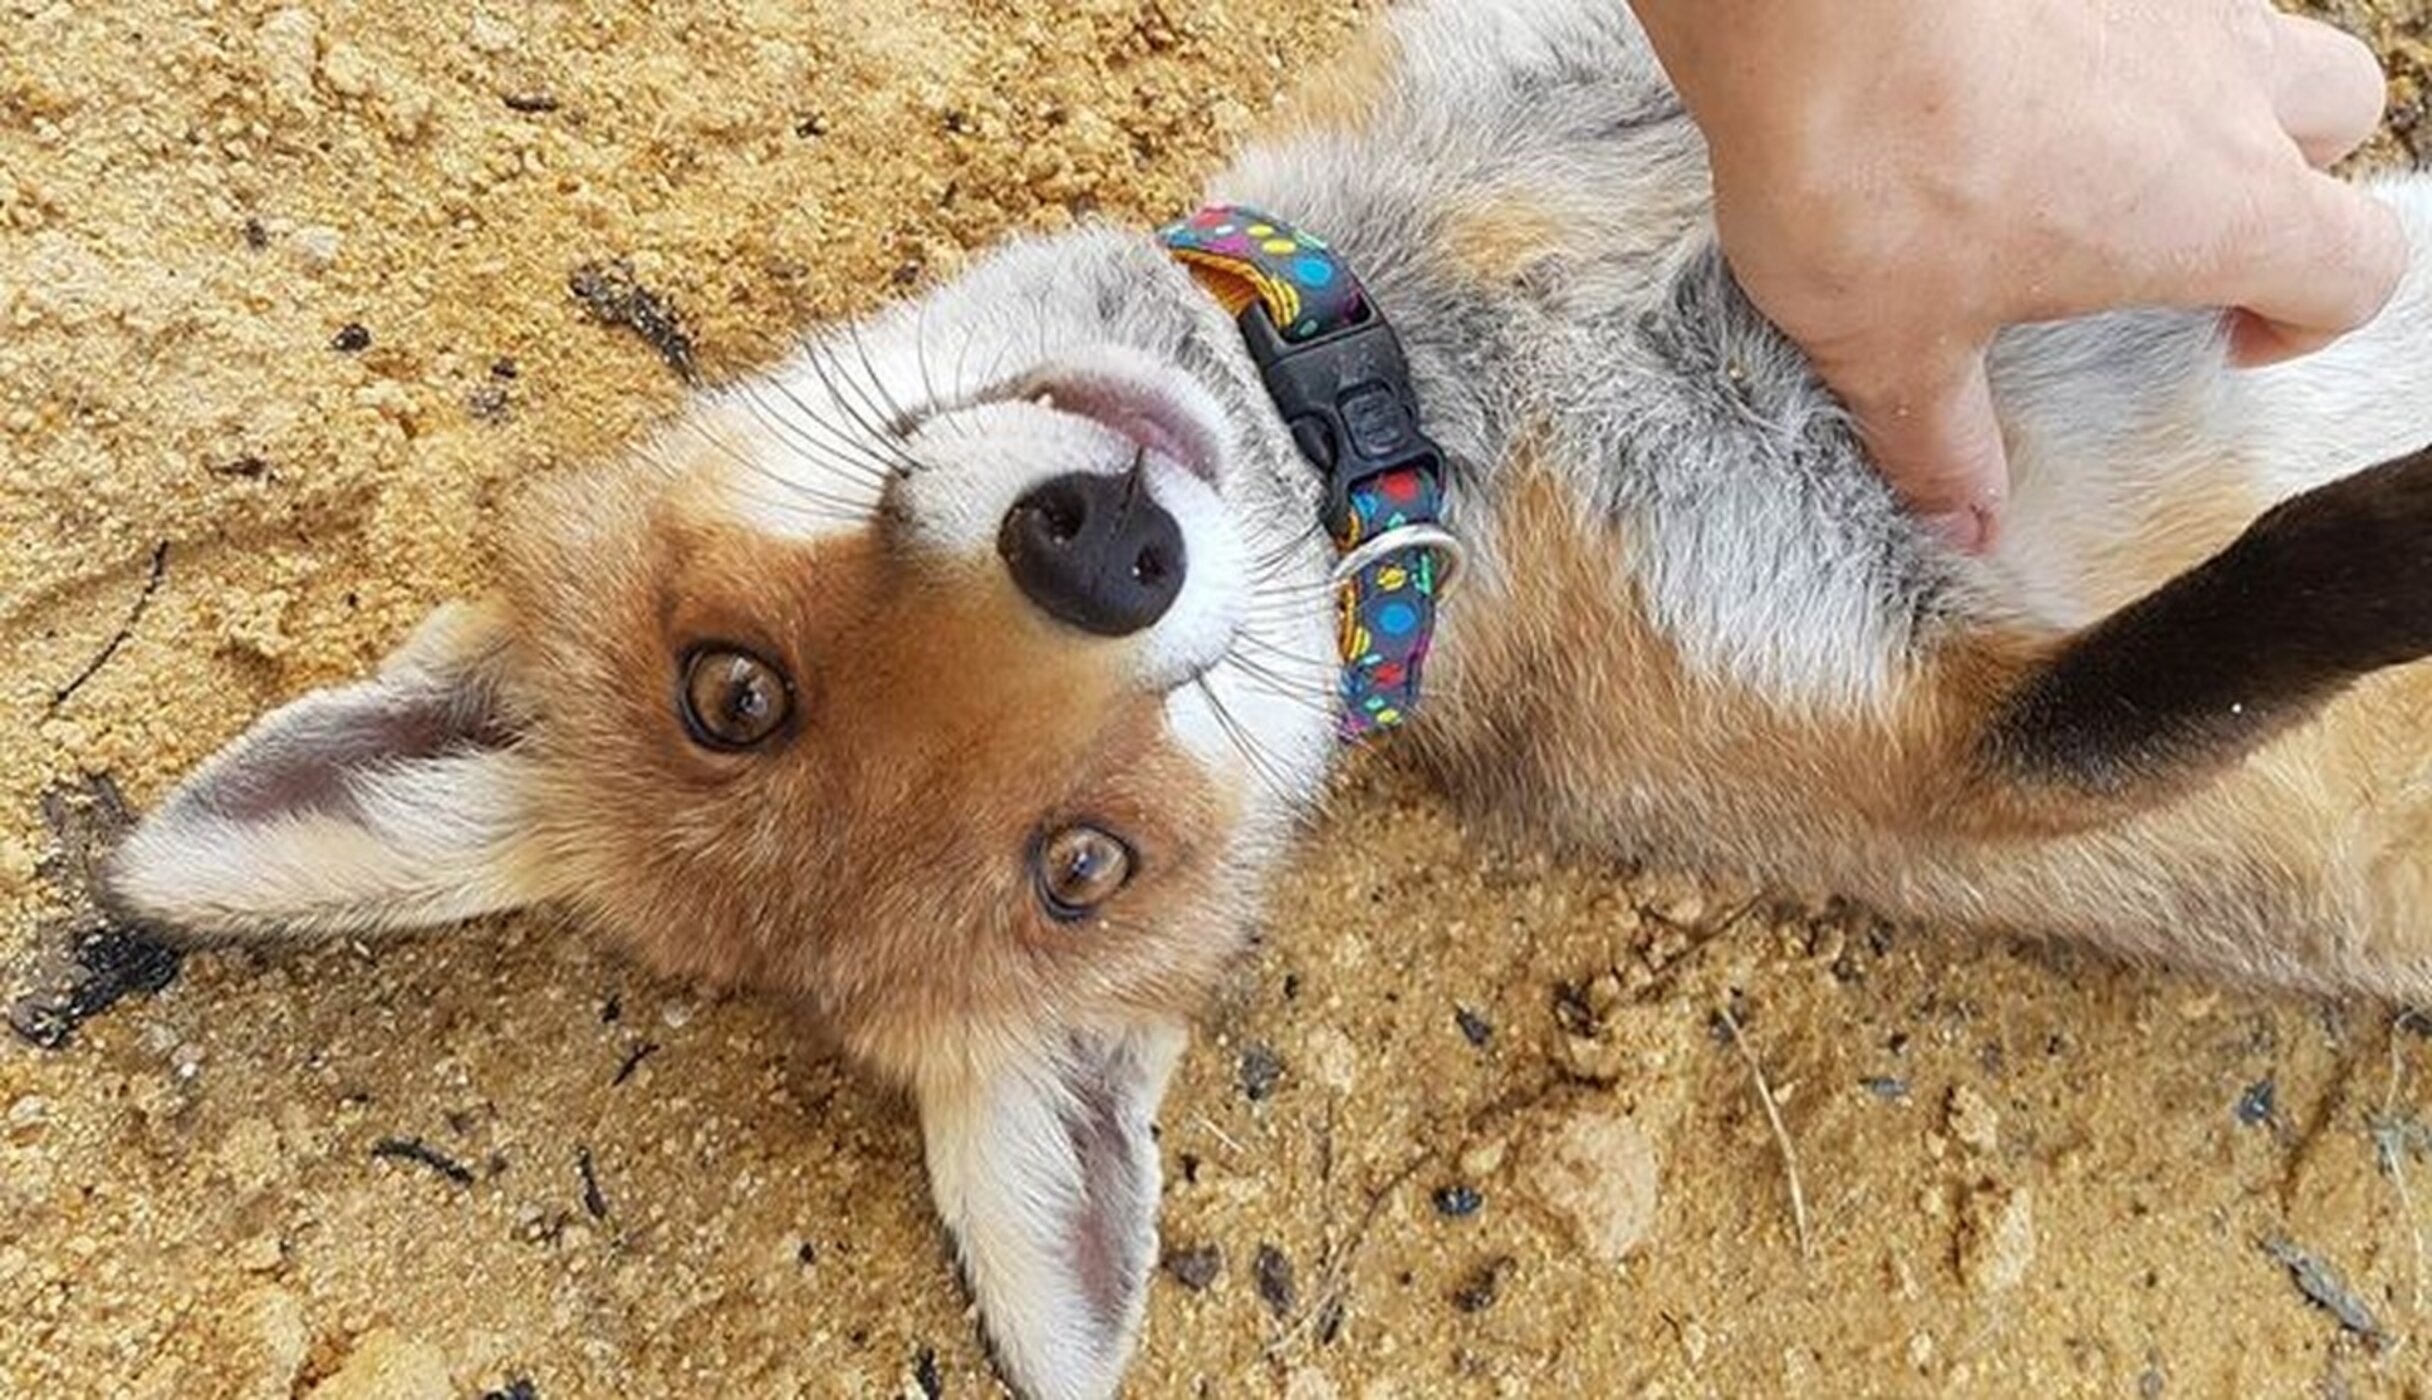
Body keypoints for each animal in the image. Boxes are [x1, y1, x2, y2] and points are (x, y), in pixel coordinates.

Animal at [95, 0, 2432, 1395]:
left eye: (726, 692)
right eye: (1083, 868)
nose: (1105, 552)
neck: (1395, 376)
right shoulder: (1945, 749)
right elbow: (2258, 607)